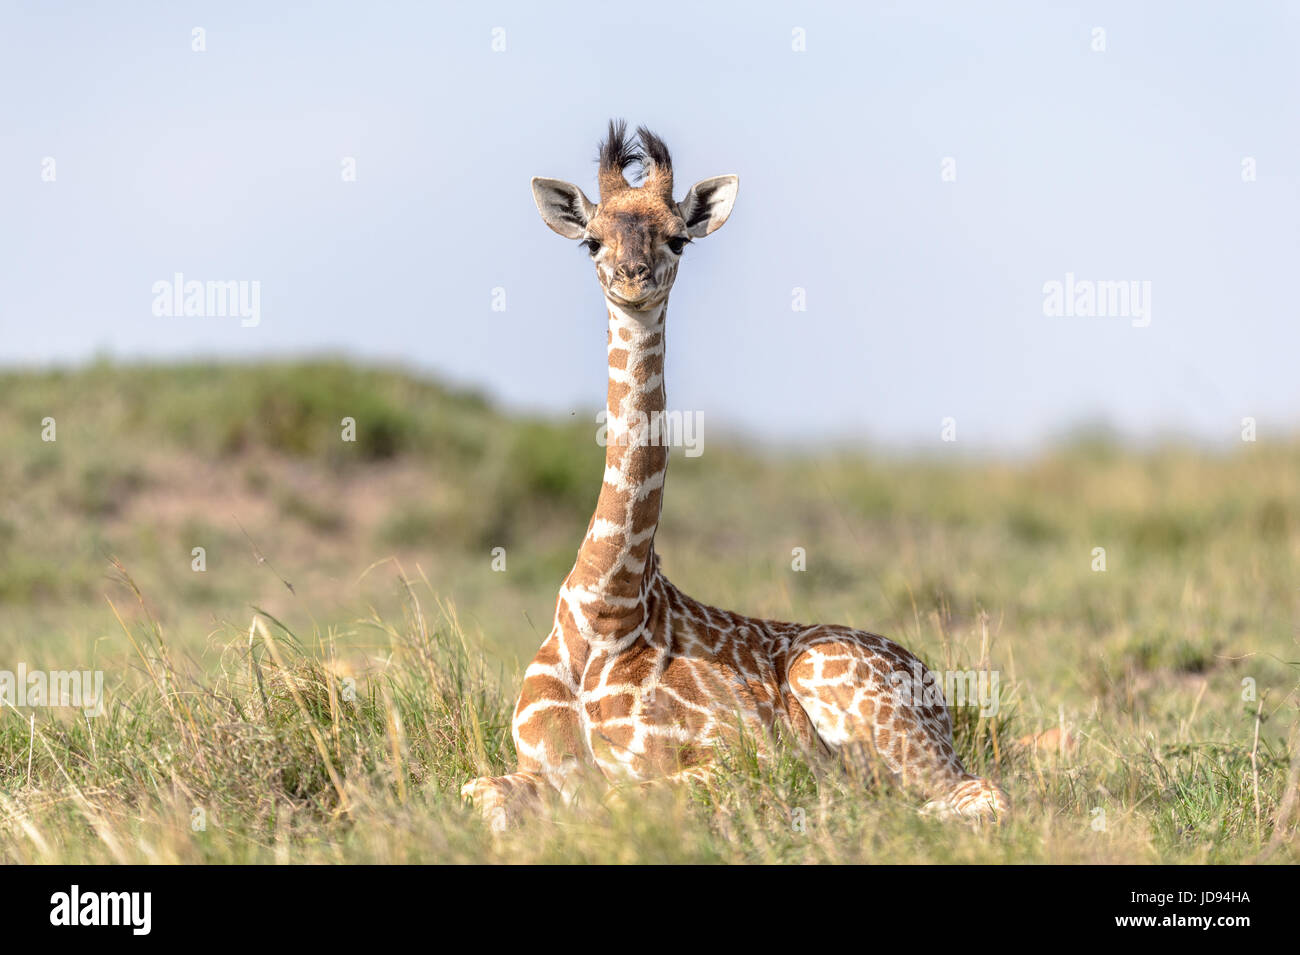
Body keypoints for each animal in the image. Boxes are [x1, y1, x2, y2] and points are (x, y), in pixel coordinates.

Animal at [461, 121, 1009, 830]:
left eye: (678, 237)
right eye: (591, 240)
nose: (634, 281)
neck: (606, 615)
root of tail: (936, 684)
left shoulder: (736, 757)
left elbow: (630, 801)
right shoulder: (534, 766)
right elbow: (485, 793)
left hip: (861, 705)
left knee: (976, 794)